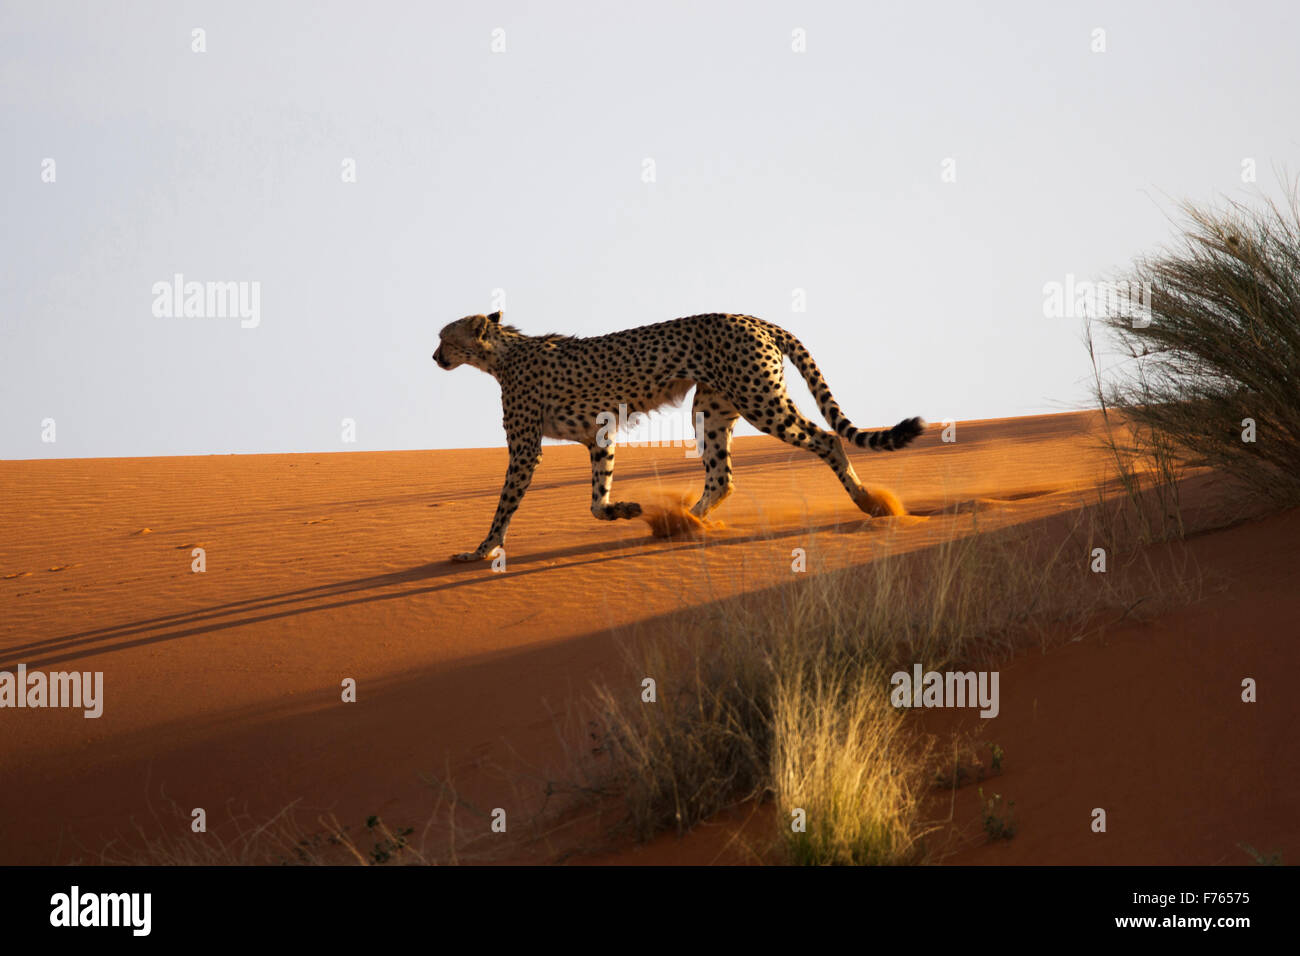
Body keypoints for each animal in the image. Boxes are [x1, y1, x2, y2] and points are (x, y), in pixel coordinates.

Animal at [433, 311, 925, 562]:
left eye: (444, 337)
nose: (434, 356)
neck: (500, 354)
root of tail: (753, 317)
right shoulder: (598, 437)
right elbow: (596, 502)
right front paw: (626, 509)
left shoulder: (525, 448)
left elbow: (505, 505)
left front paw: (481, 550)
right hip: (711, 410)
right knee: (722, 477)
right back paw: (685, 520)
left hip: (760, 400)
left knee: (827, 439)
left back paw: (868, 502)